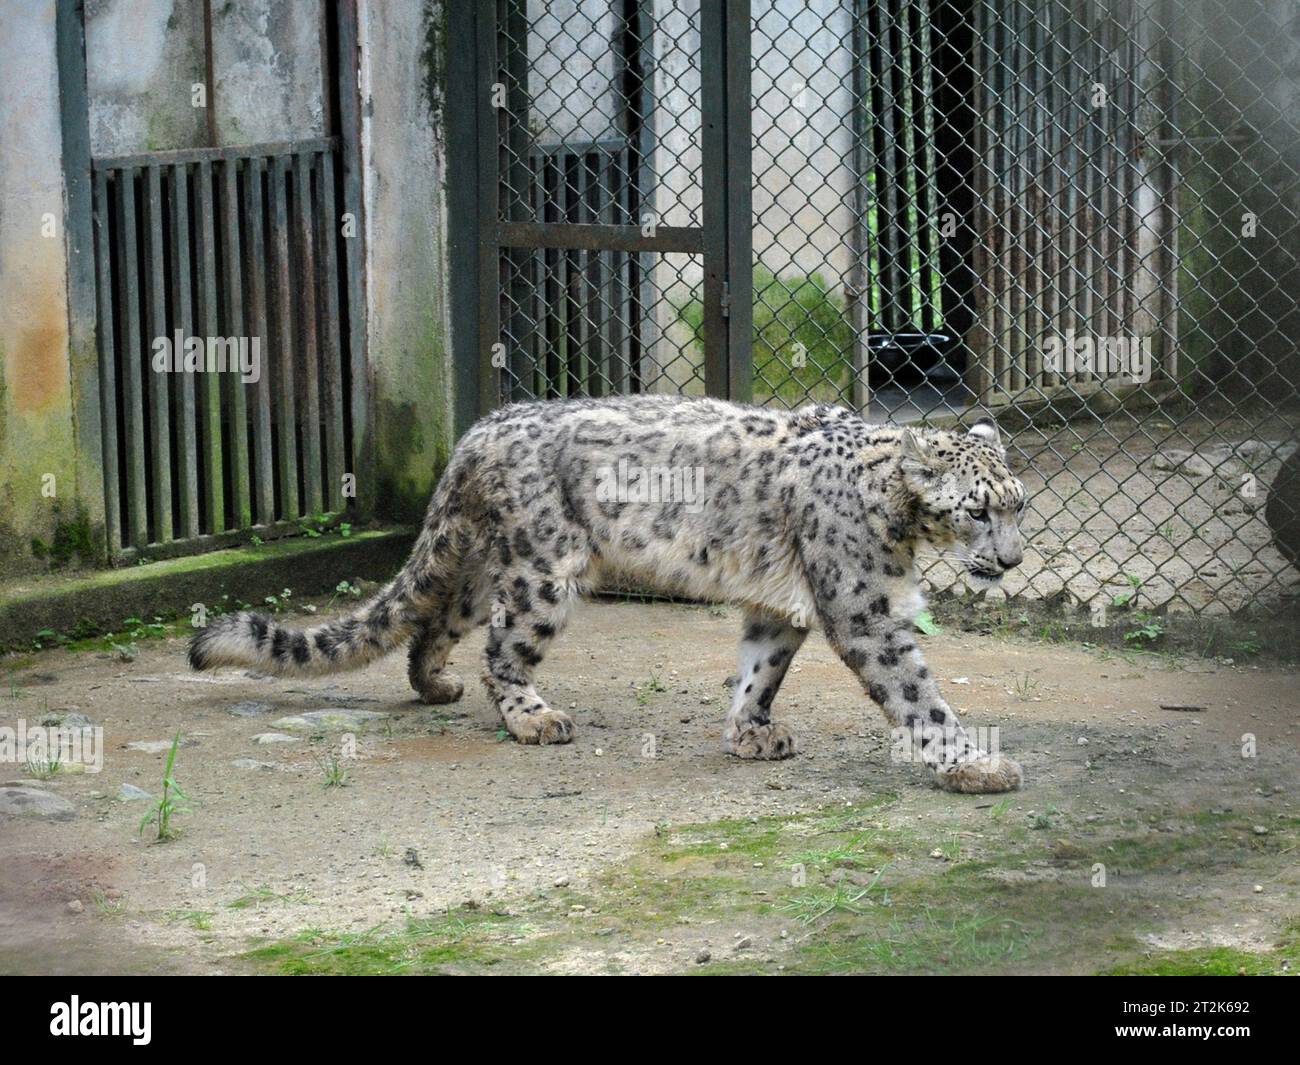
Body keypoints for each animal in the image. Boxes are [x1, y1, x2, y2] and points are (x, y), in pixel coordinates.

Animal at [189, 394, 1028, 794]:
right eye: (979, 509)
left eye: (1020, 504)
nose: (1014, 560)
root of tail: (476, 432)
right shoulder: (862, 606)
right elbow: (917, 691)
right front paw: (974, 764)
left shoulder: (777, 603)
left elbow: (759, 669)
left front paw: (750, 732)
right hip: (542, 569)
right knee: (502, 651)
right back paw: (535, 717)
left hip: (483, 563)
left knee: (437, 618)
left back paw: (435, 683)